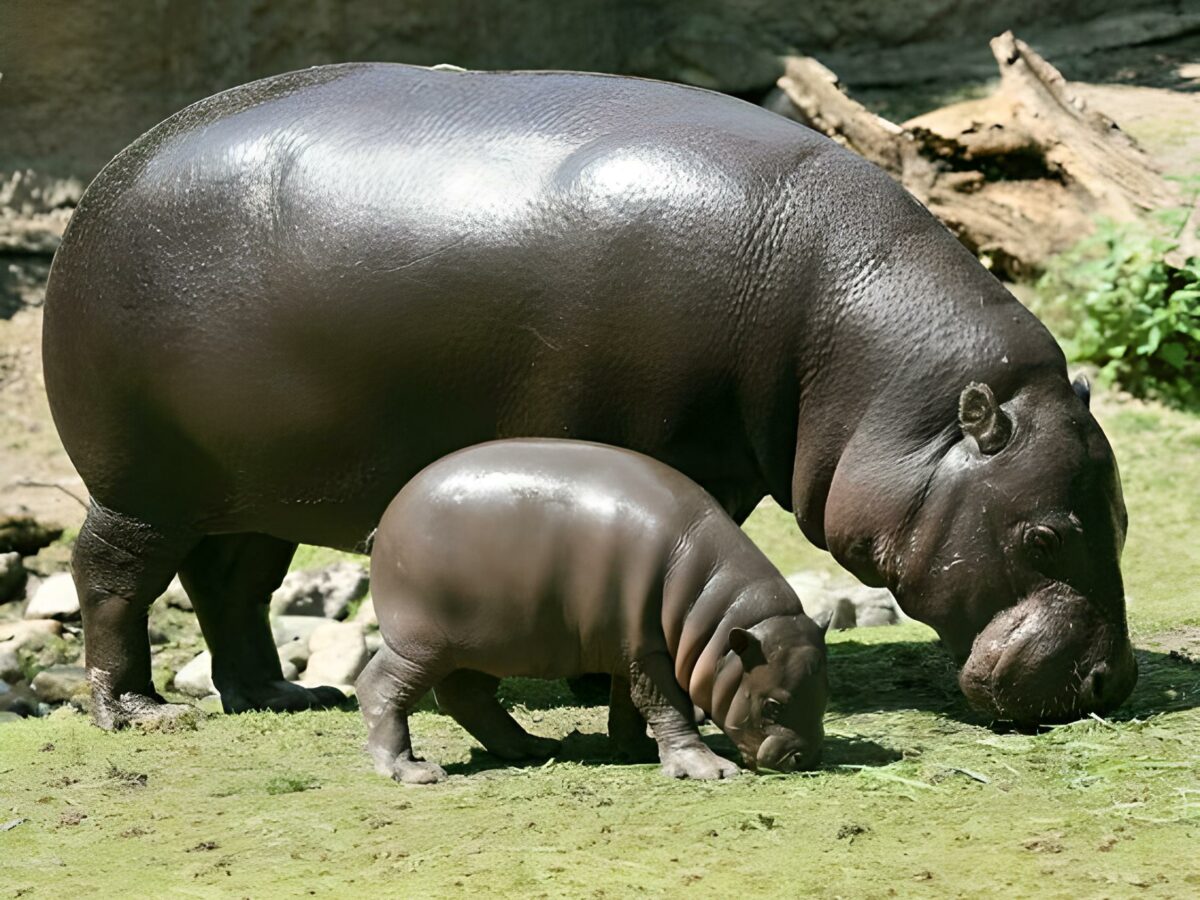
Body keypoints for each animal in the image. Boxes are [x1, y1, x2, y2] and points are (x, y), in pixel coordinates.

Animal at [42, 62, 1134, 730]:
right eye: (1043, 536)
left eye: (1119, 518)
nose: (1109, 681)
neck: (873, 376)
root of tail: (104, 181)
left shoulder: (718, 464)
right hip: (142, 482)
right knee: (114, 580)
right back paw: (137, 712)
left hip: (257, 486)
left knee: (231, 585)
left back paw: (276, 697)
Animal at [360, 439, 828, 782]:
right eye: (773, 705)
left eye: (821, 693)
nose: (804, 757)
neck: (716, 616)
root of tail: (382, 522)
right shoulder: (649, 651)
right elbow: (668, 705)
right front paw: (710, 769)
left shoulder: (632, 645)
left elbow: (630, 705)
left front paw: (637, 750)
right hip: (421, 642)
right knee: (380, 688)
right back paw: (413, 772)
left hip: (481, 646)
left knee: (465, 697)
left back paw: (533, 747)